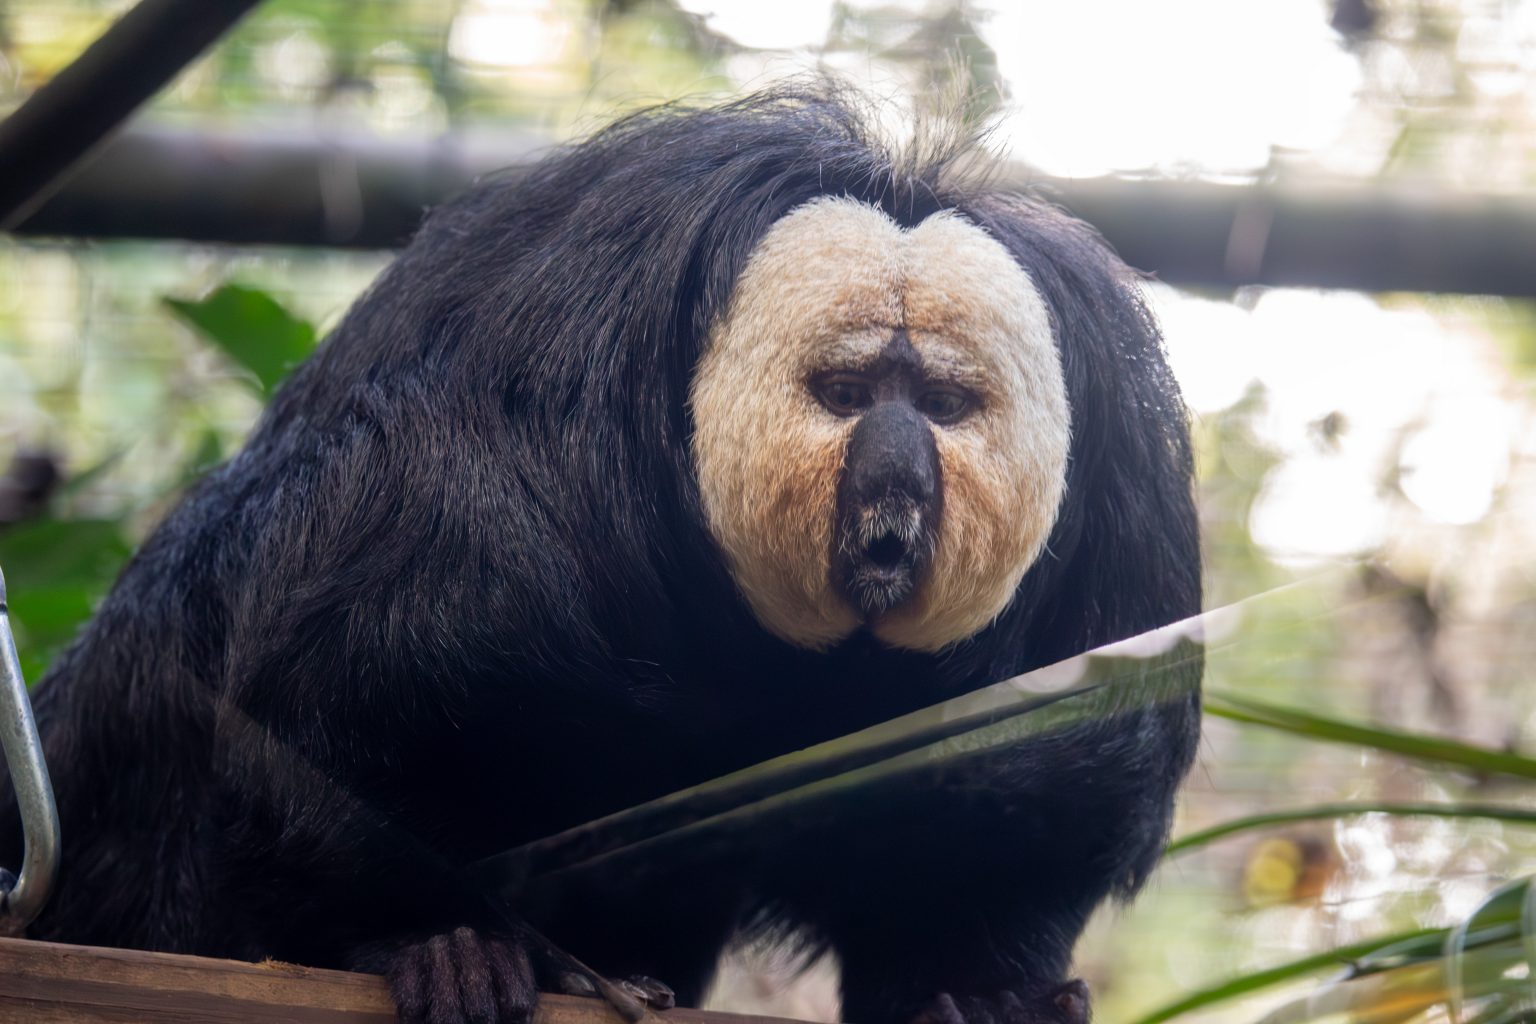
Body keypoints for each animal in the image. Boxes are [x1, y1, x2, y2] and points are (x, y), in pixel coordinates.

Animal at [0, 86, 1202, 1024]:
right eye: (849, 392)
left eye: (945, 406)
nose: (900, 475)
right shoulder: (509, 434)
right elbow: (349, 696)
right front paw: (424, 941)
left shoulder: (1117, 506)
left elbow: (1032, 784)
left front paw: (975, 989)